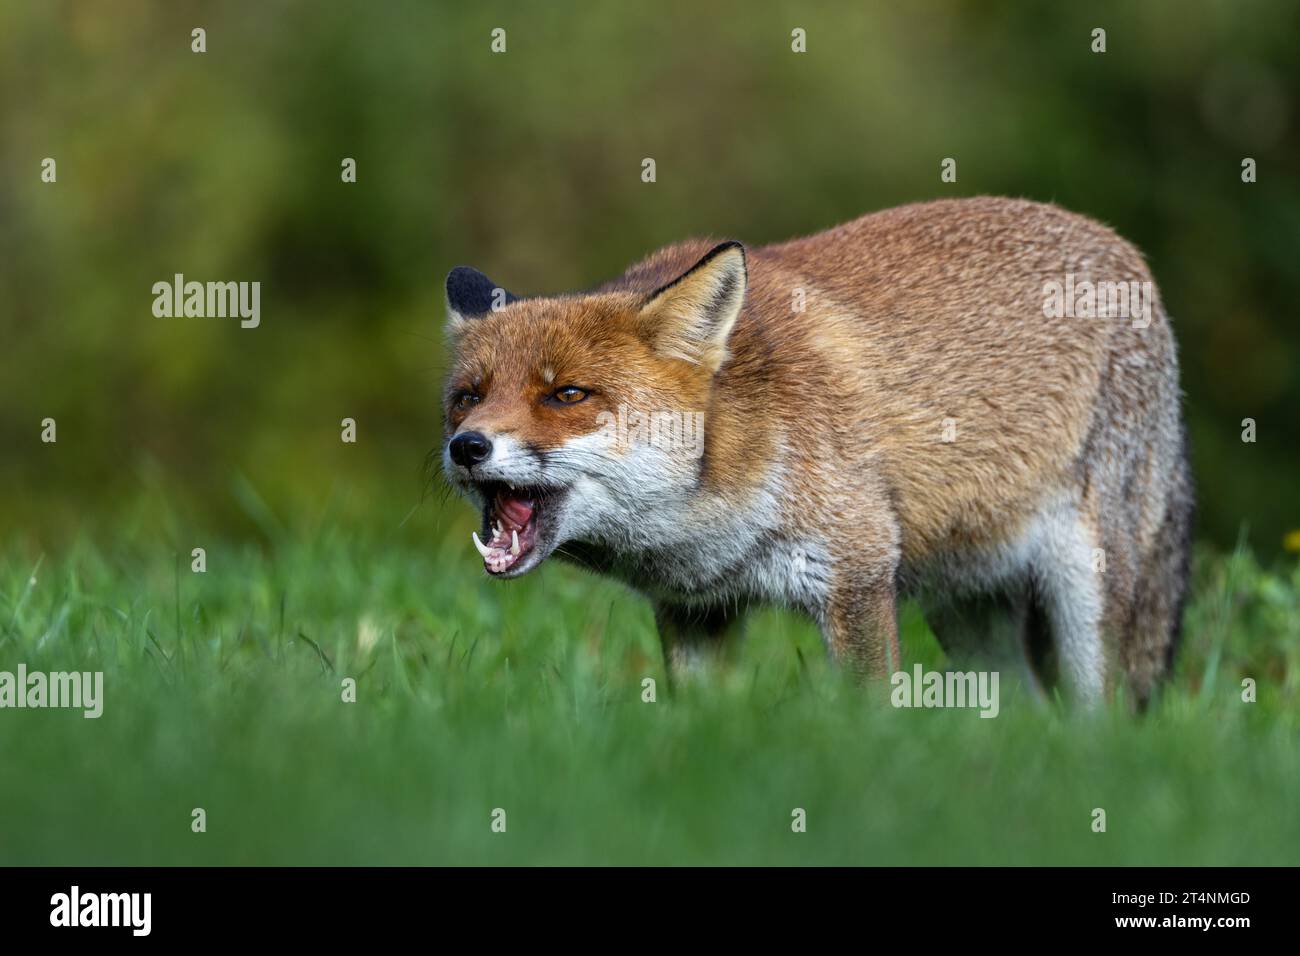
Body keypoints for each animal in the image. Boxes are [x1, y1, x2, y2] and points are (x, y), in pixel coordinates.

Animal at [440, 197, 1193, 706]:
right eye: (467, 397)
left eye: (567, 394)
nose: (466, 447)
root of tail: (1127, 254)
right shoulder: (696, 612)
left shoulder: (857, 577)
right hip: (969, 612)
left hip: (1089, 592)